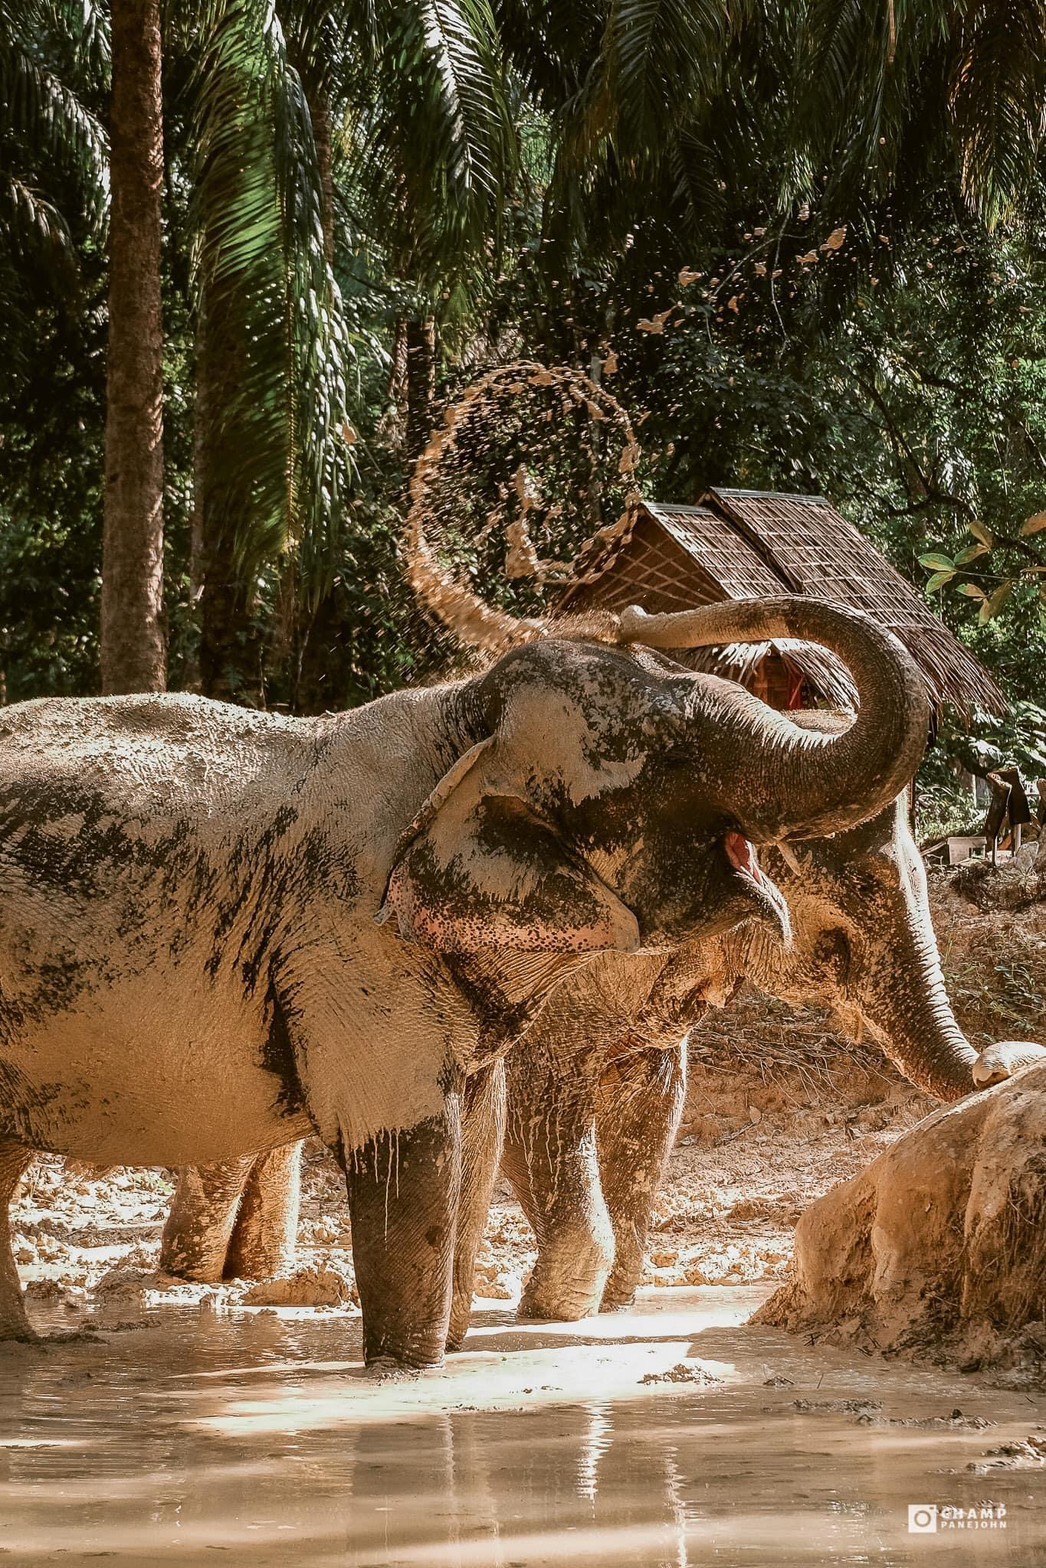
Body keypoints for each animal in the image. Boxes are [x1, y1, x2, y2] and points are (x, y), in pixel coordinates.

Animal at [0, 595, 933, 1366]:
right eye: (671, 758)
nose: (631, 613)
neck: (459, 719)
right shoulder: (348, 938)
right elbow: (412, 1145)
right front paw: (405, 1376)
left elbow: (479, 1138)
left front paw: (446, 1354)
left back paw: (28, 1348)